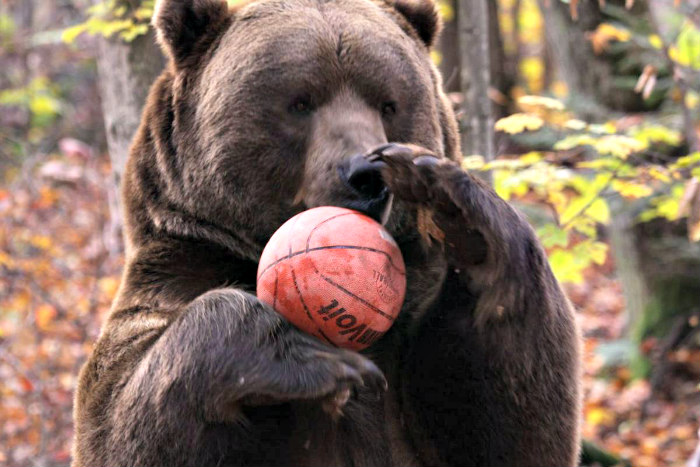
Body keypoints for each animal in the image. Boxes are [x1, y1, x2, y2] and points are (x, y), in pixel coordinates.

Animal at [72, 0, 582, 466]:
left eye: (388, 103)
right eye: (301, 101)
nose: (366, 174)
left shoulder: (413, 339)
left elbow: (509, 424)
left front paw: (453, 205)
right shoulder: (180, 267)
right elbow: (120, 415)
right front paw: (310, 357)